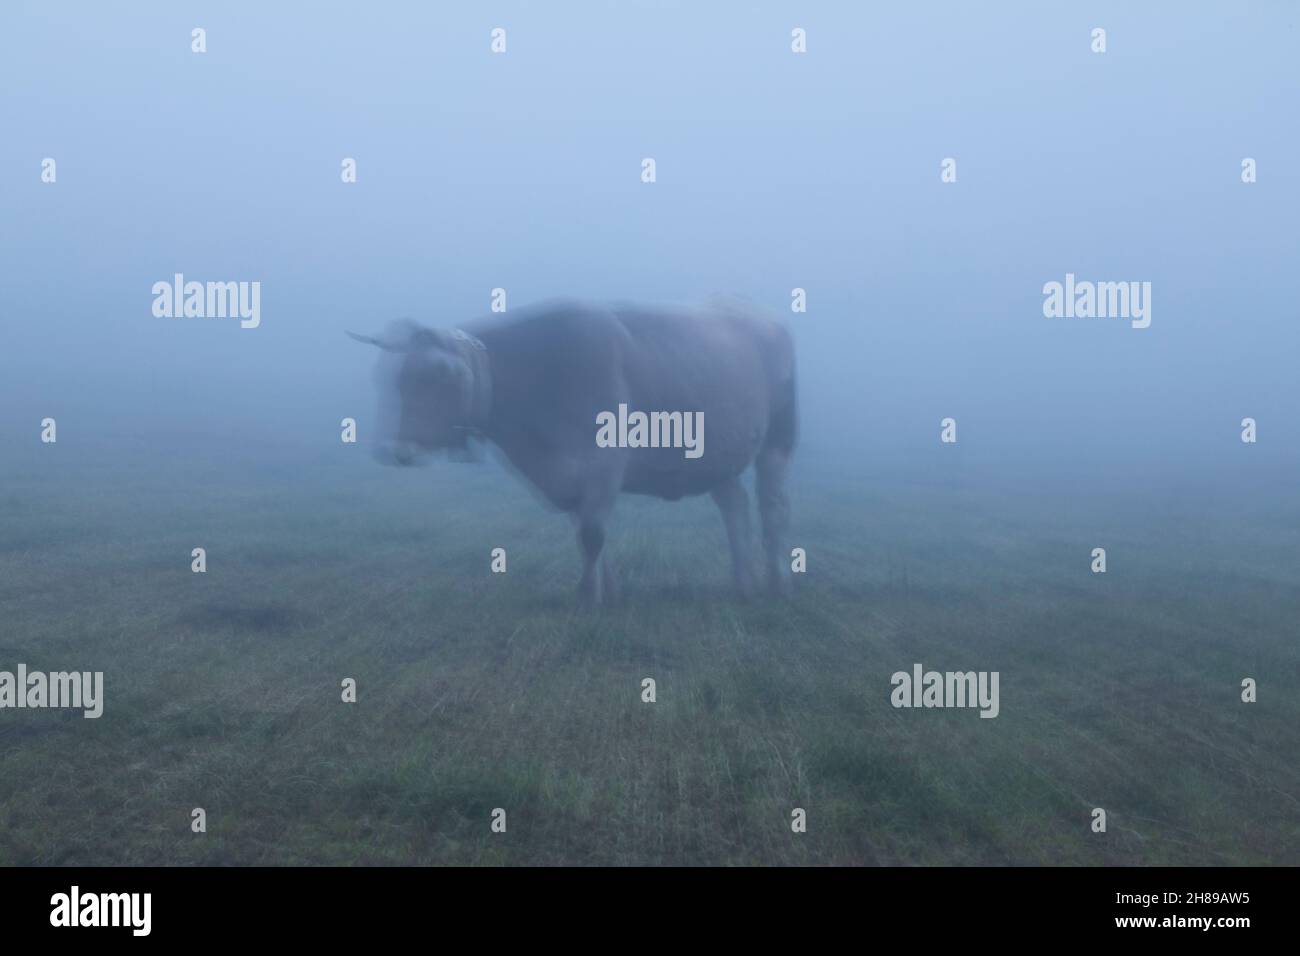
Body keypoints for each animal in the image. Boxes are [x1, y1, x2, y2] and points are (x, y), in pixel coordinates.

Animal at [350, 299, 796, 605]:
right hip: (719, 455)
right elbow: (585, 536)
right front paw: (607, 591)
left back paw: (775, 585)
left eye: (439, 374)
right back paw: (743, 584)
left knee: (772, 507)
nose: (396, 450)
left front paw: (586, 598)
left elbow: (593, 534)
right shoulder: (566, 478)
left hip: (778, 439)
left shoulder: (605, 465)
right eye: (391, 378)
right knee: (734, 505)